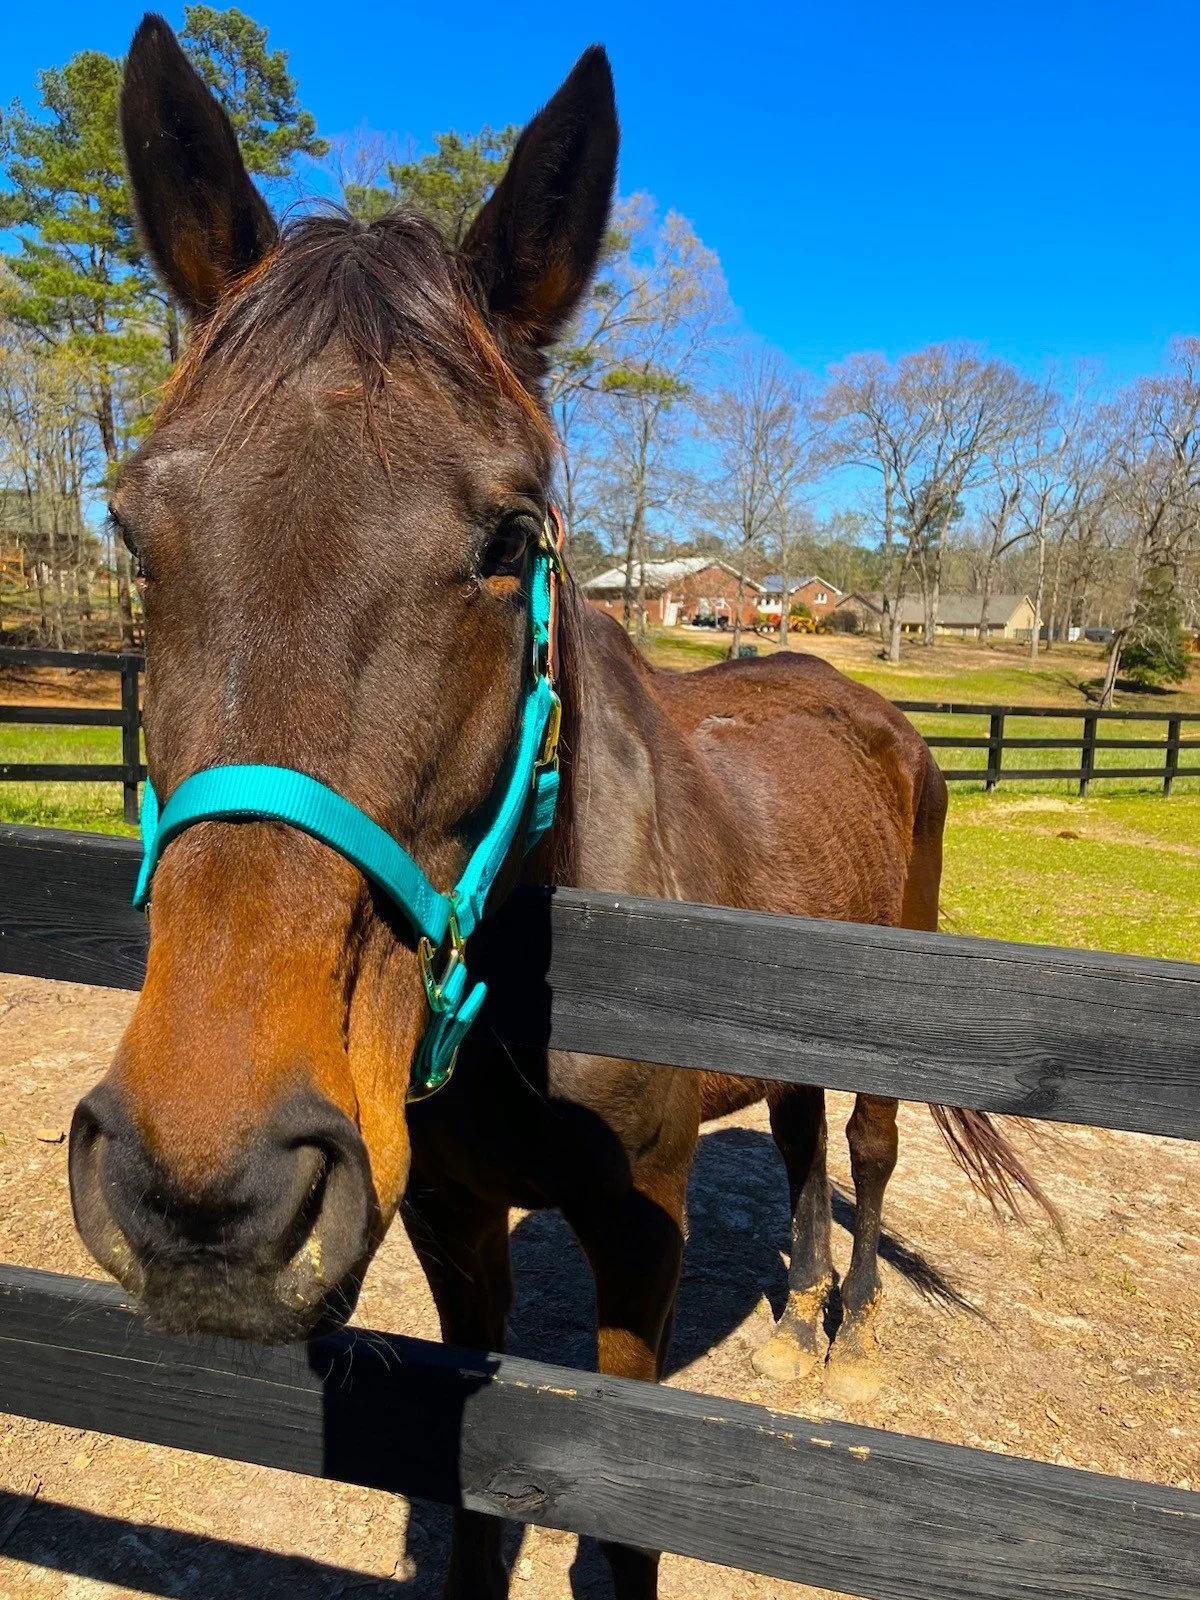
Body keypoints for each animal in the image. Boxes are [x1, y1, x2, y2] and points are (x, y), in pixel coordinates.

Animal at [69, 17, 1048, 1597]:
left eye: (509, 537)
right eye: (131, 528)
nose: (202, 1196)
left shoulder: (638, 1231)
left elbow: (621, 1529)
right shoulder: (450, 1219)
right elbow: (478, 1515)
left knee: (869, 1147)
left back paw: (846, 1335)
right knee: (796, 1137)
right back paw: (795, 1309)